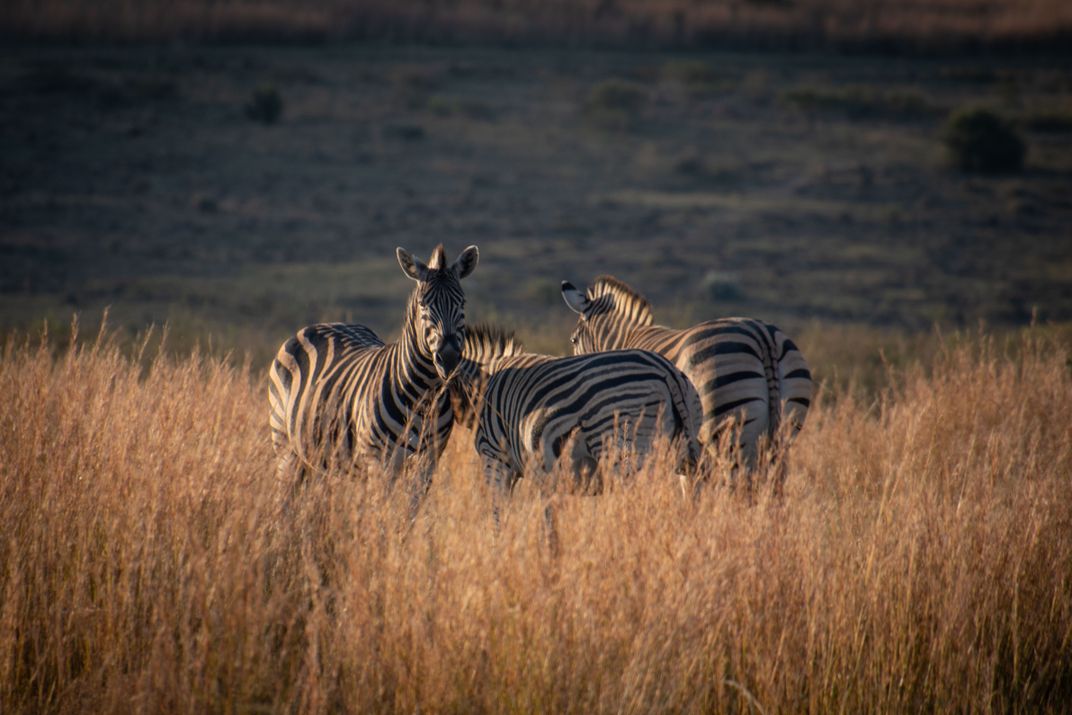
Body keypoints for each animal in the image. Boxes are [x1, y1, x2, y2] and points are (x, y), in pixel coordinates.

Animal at [268, 244, 478, 490]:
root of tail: (319, 325)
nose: (449, 359)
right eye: (423, 305)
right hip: (285, 446)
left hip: (321, 458)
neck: (425, 395)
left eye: (462, 303)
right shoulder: (379, 462)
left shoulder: (428, 462)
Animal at [451, 324, 703, 513]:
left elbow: (497, 514)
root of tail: (667, 372)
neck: (483, 386)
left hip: (624, 452)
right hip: (683, 448)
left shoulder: (495, 457)